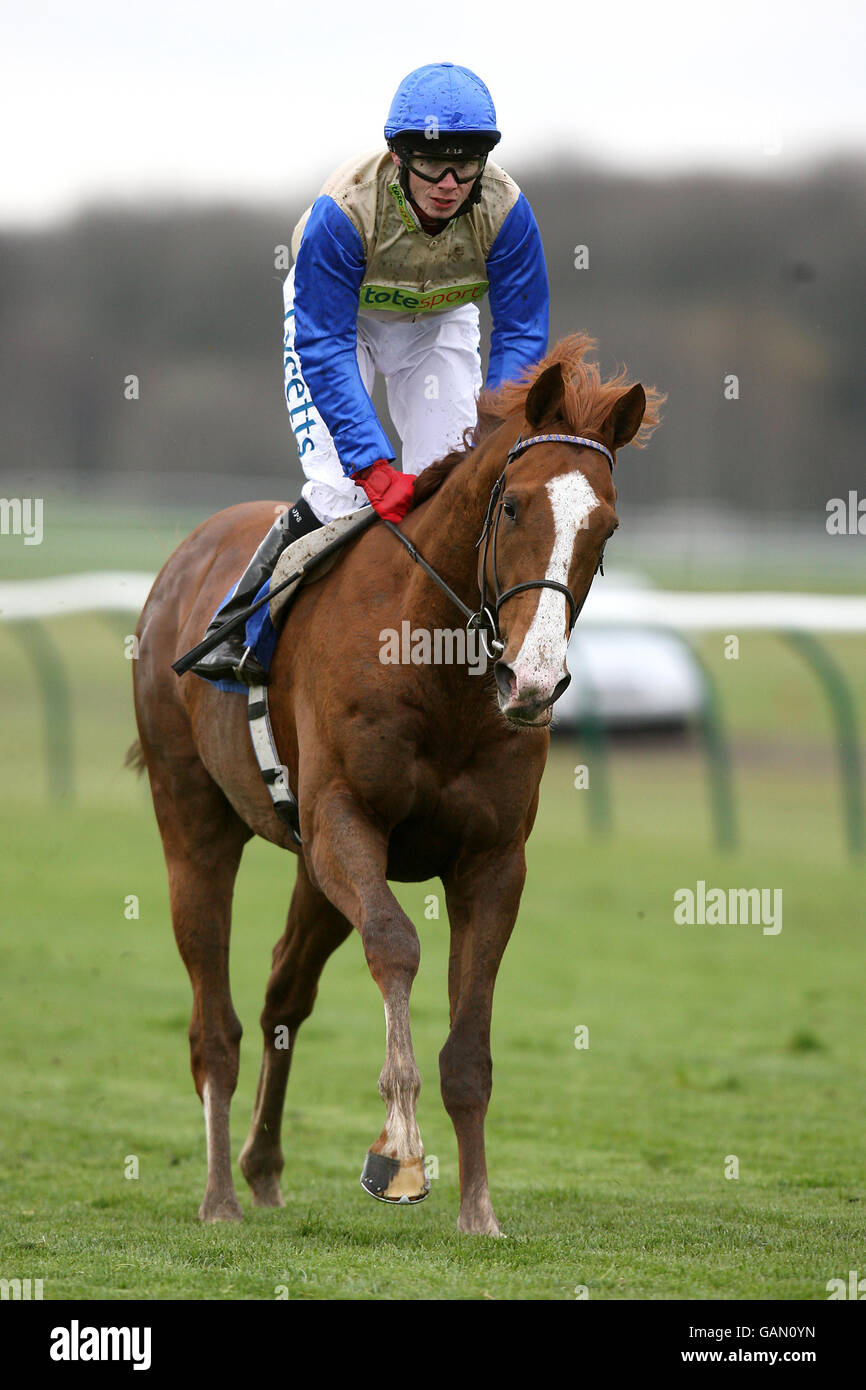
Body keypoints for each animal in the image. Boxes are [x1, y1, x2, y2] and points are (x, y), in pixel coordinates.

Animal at [129, 333, 663, 1235]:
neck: (435, 670)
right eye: (514, 507)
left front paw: (479, 1209)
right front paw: (400, 1153)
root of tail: (189, 551)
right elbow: (395, 945)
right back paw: (219, 1196)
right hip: (193, 820)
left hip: (310, 868)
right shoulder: (347, 821)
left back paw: (262, 1168)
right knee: (216, 1022)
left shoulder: (492, 860)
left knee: (282, 997)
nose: (534, 680)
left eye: (607, 525)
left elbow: (471, 1048)